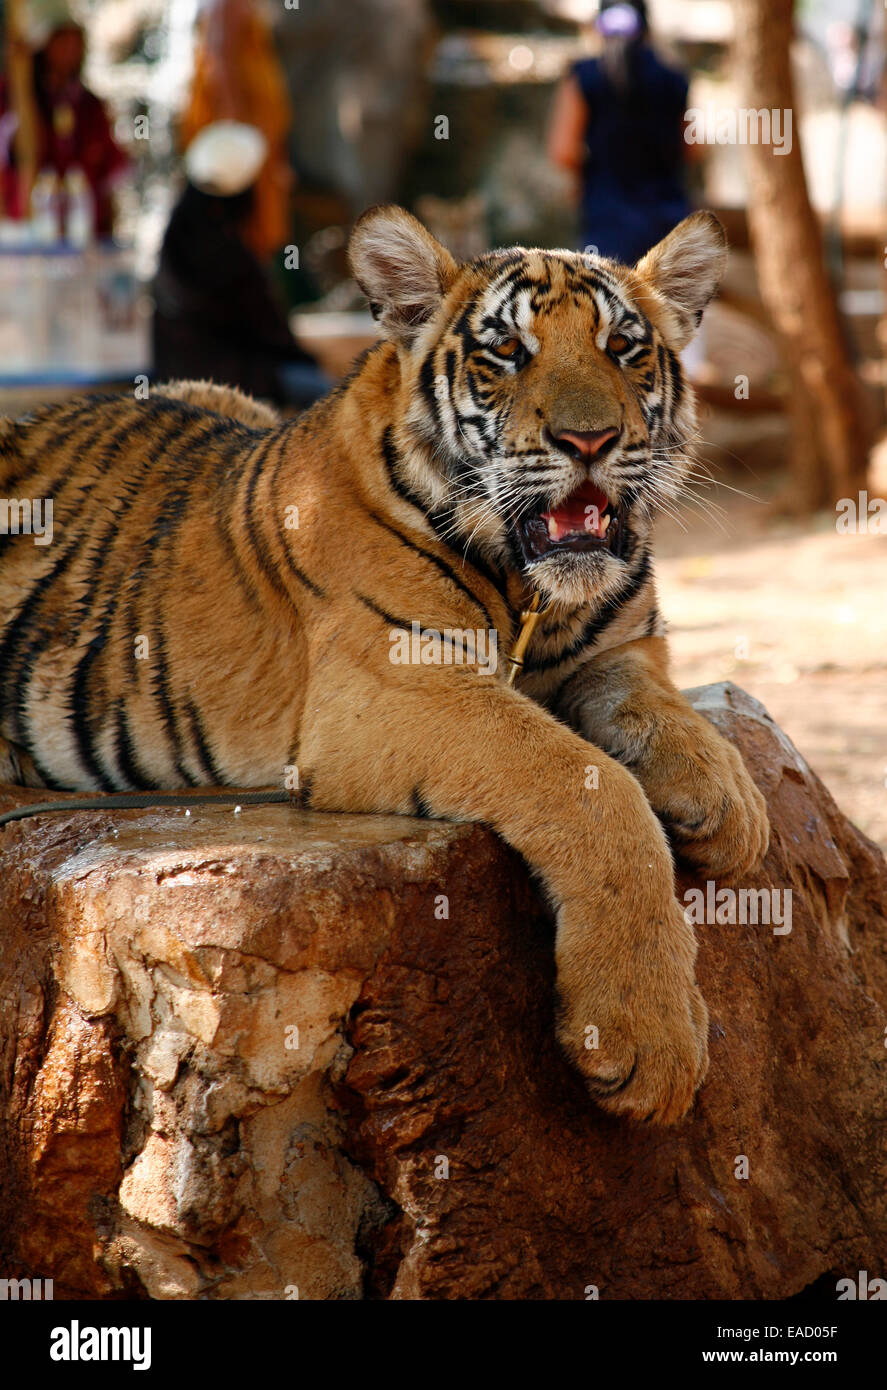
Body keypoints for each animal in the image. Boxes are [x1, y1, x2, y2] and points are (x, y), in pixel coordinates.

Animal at [0, 205, 769, 1123]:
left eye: (622, 347)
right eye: (507, 352)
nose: (590, 439)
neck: (534, 594)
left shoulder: (616, 648)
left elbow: (660, 707)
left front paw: (729, 804)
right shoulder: (400, 686)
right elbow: (591, 792)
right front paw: (647, 1035)